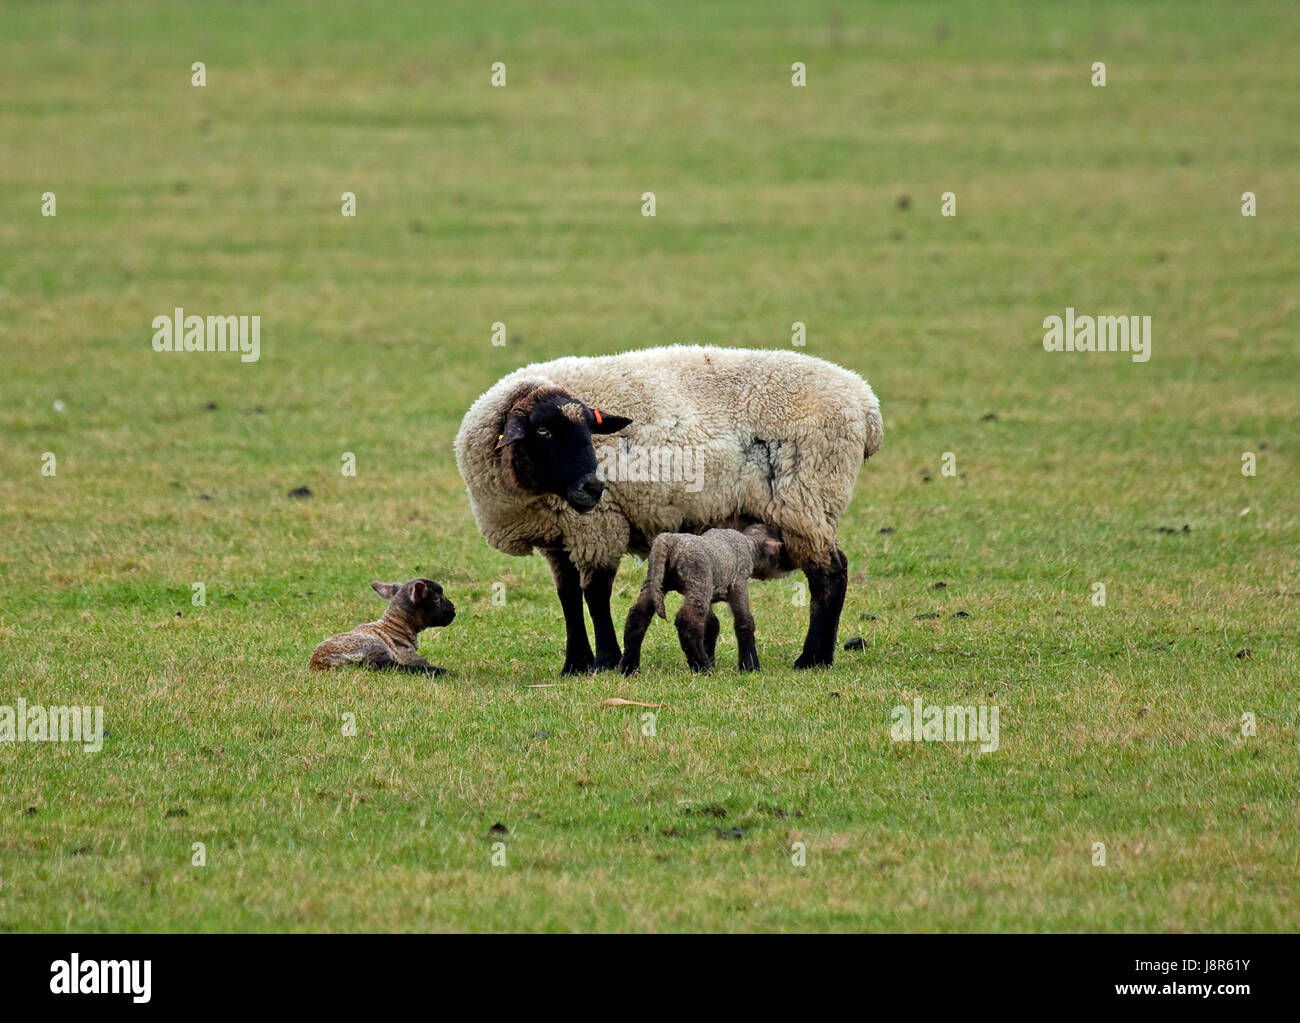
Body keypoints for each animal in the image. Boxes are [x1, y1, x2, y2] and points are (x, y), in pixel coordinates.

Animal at [619, 524, 785, 675]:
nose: (779, 570)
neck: (749, 544)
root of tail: (668, 540)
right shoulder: (738, 583)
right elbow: (744, 622)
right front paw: (750, 667)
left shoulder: (711, 593)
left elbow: (712, 625)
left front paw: (712, 658)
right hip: (698, 581)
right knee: (687, 621)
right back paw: (702, 667)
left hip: (655, 581)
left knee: (637, 616)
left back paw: (630, 668)